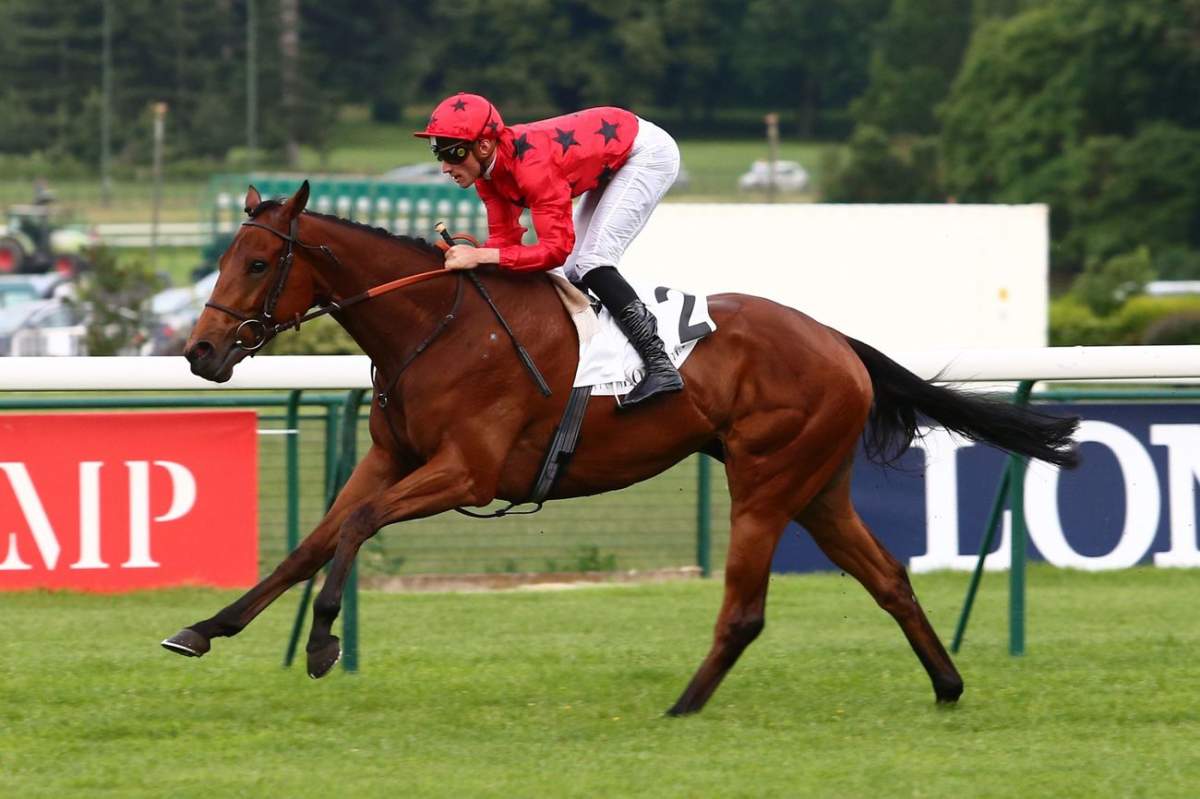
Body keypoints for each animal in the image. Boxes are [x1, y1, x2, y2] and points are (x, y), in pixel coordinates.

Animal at [163, 181, 1078, 715]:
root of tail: (837, 341)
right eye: (227, 258)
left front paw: (323, 642)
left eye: (256, 262)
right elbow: (310, 541)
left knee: (746, 609)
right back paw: (948, 686)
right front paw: (205, 627)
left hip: (767, 480)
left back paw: (682, 706)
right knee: (888, 576)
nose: (200, 352)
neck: (435, 327)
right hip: (816, 486)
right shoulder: (390, 458)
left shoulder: (466, 470)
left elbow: (353, 531)